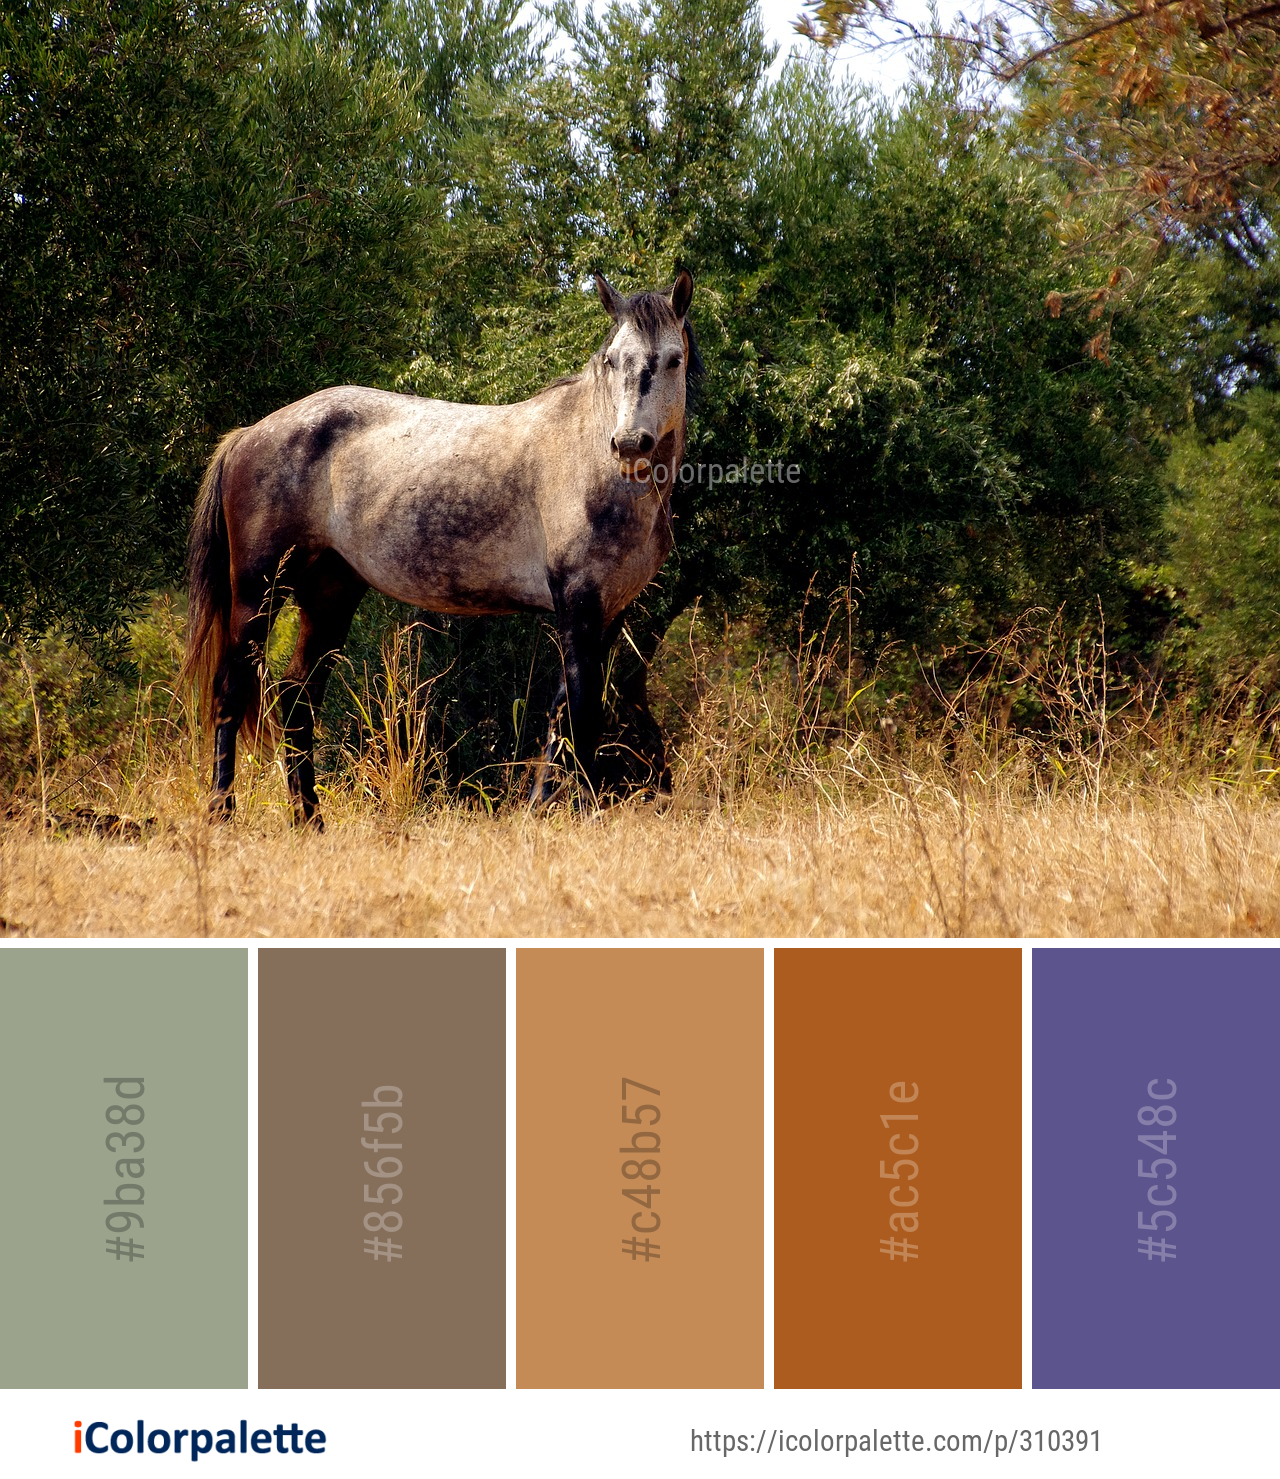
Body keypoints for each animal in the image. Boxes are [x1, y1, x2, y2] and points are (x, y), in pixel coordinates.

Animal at [181, 270, 700, 828]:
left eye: (673, 359)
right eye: (612, 359)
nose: (629, 444)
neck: (590, 461)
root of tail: (249, 434)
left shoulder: (607, 612)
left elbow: (562, 714)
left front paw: (538, 808)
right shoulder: (578, 604)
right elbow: (581, 715)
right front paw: (583, 813)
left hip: (328, 595)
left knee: (298, 700)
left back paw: (310, 821)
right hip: (256, 591)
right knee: (232, 691)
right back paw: (221, 813)